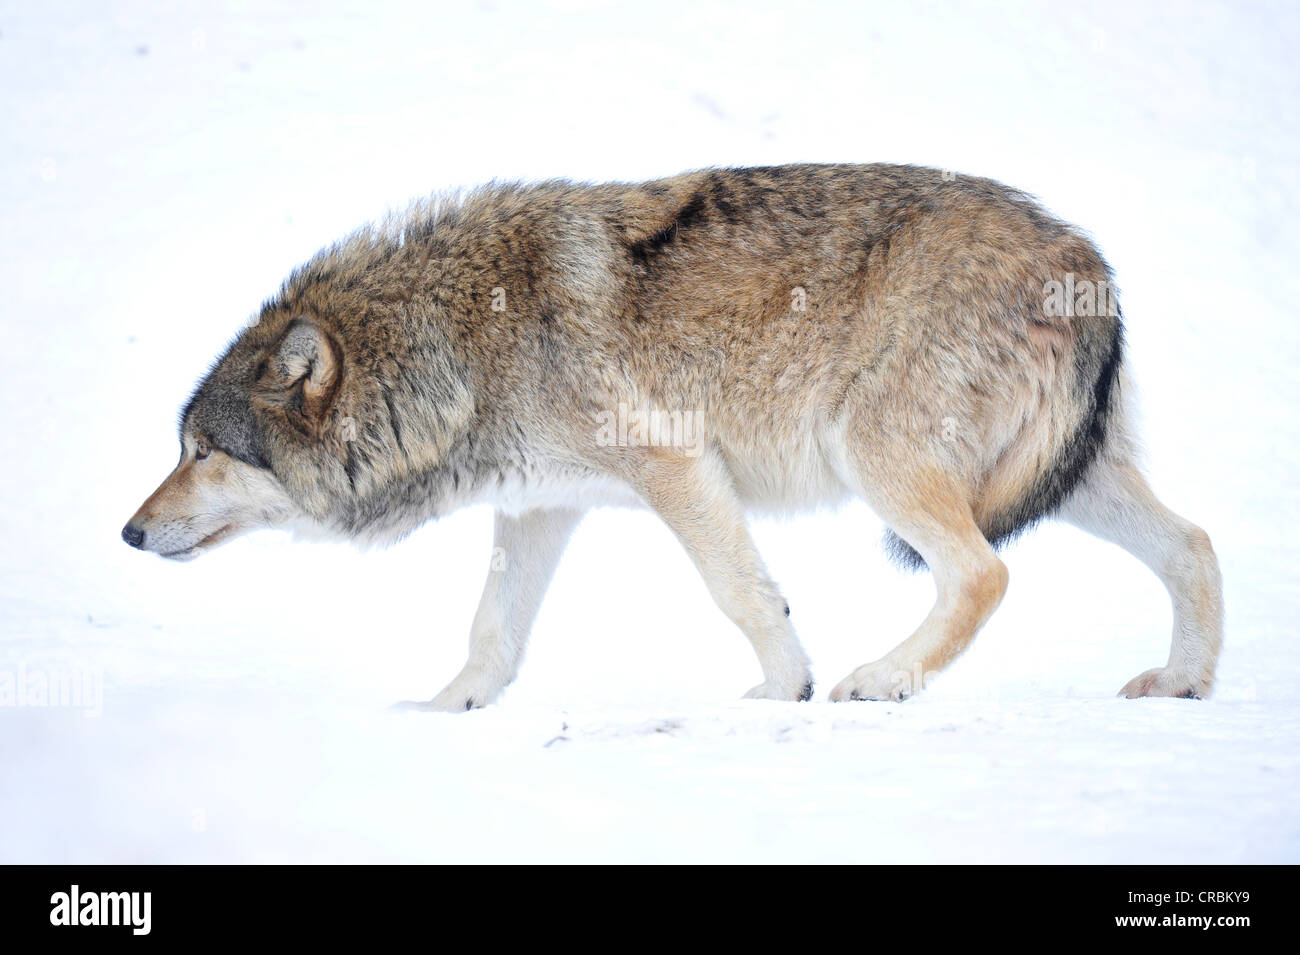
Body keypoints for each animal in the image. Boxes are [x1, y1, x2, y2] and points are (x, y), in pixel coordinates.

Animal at [122, 164, 1223, 707]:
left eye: (202, 452)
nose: (129, 533)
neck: (460, 346)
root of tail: (1085, 258)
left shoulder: (675, 467)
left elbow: (742, 594)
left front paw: (783, 692)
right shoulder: (541, 508)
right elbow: (490, 632)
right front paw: (443, 715)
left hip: (876, 457)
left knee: (985, 574)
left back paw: (880, 679)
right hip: (1071, 480)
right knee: (1197, 545)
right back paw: (1181, 681)